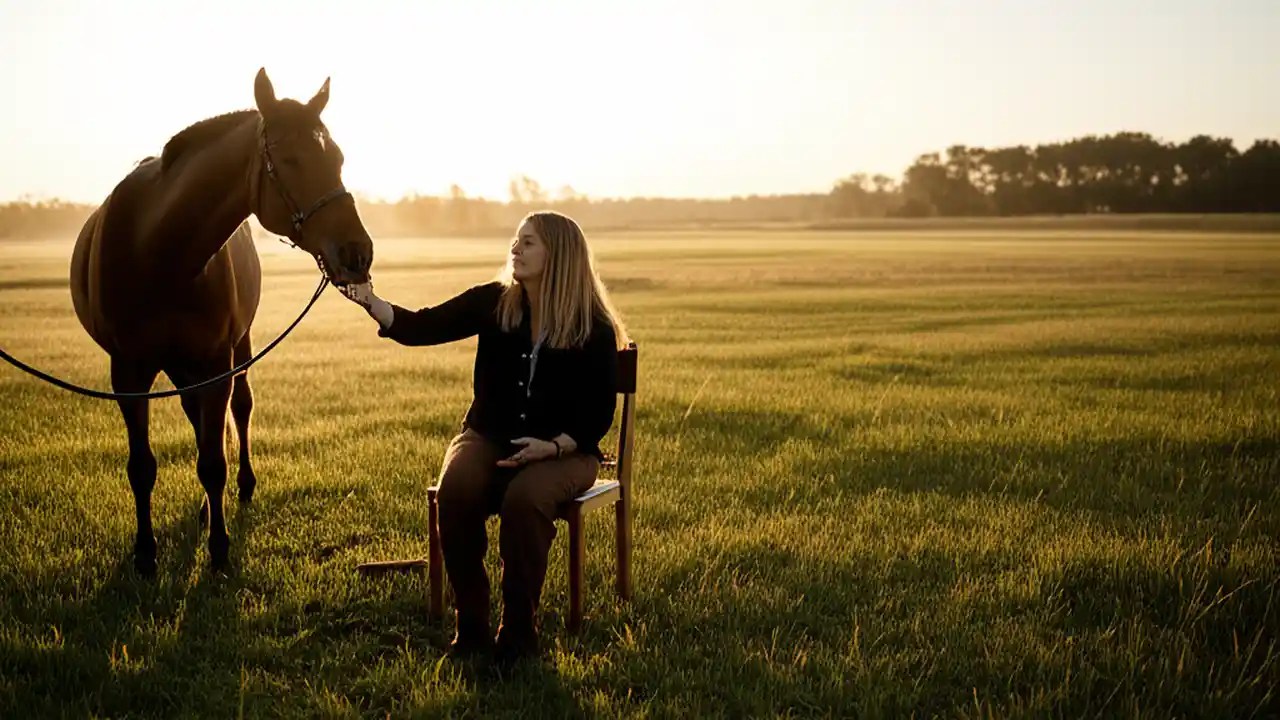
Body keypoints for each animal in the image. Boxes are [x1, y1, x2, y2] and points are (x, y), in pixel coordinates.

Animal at [69, 68, 374, 575]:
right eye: (289, 159)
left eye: (338, 157)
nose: (357, 252)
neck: (160, 251)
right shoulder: (128, 373)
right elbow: (142, 466)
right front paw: (145, 553)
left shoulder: (216, 366)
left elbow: (213, 461)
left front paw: (219, 550)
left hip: (234, 349)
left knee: (238, 412)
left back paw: (236, 492)